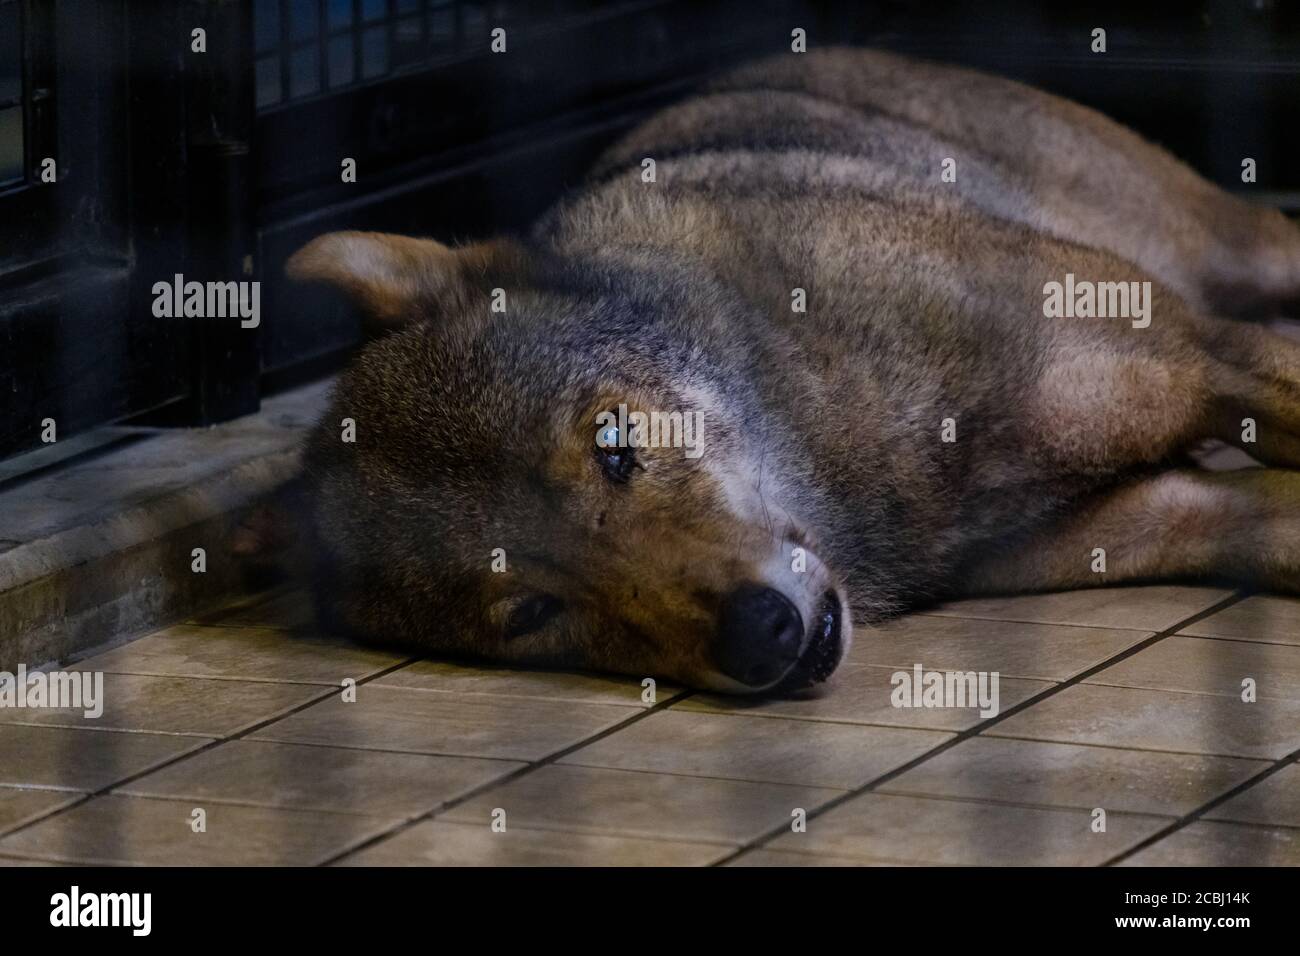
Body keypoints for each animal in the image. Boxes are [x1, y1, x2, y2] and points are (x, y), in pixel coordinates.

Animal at [277, 48, 1300, 694]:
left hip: (1237, 254)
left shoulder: (1210, 359)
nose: (759, 636)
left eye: (615, 446)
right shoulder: (1162, 516)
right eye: (532, 610)